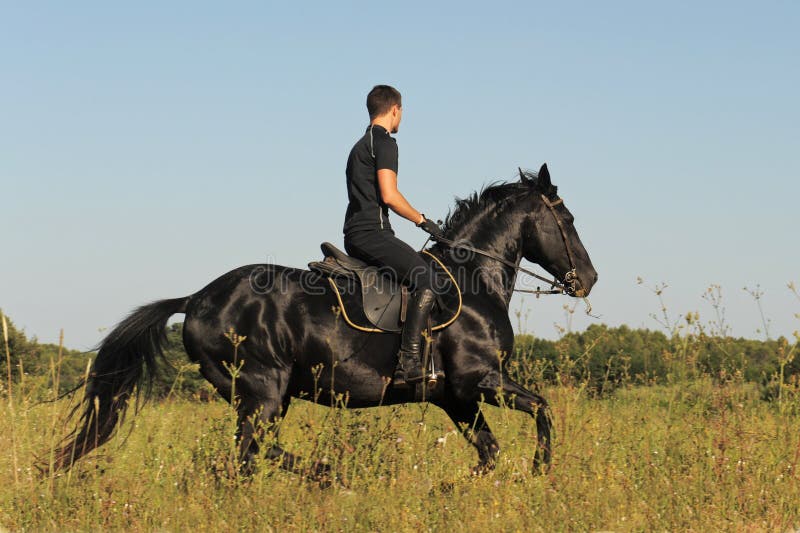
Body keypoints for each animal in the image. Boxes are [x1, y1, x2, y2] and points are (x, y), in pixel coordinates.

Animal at [50, 164, 597, 479]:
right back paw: (329, 472)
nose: (588, 280)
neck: (472, 276)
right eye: (568, 220)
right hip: (263, 390)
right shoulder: (478, 380)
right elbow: (543, 410)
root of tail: (197, 299)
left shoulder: (455, 398)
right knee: (250, 453)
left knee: (249, 454)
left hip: (264, 395)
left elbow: (490, 453)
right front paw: (541, 472)